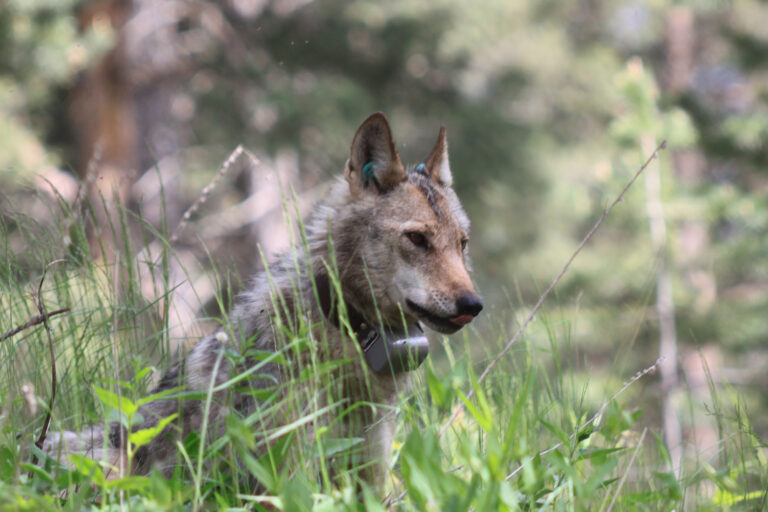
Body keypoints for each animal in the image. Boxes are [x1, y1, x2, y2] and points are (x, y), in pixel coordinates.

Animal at [45, 112, 483, 489]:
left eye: (462, 244)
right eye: (417, 239)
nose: (473, 305)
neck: (348, 334)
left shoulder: (368, 470)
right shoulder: (283, 478)